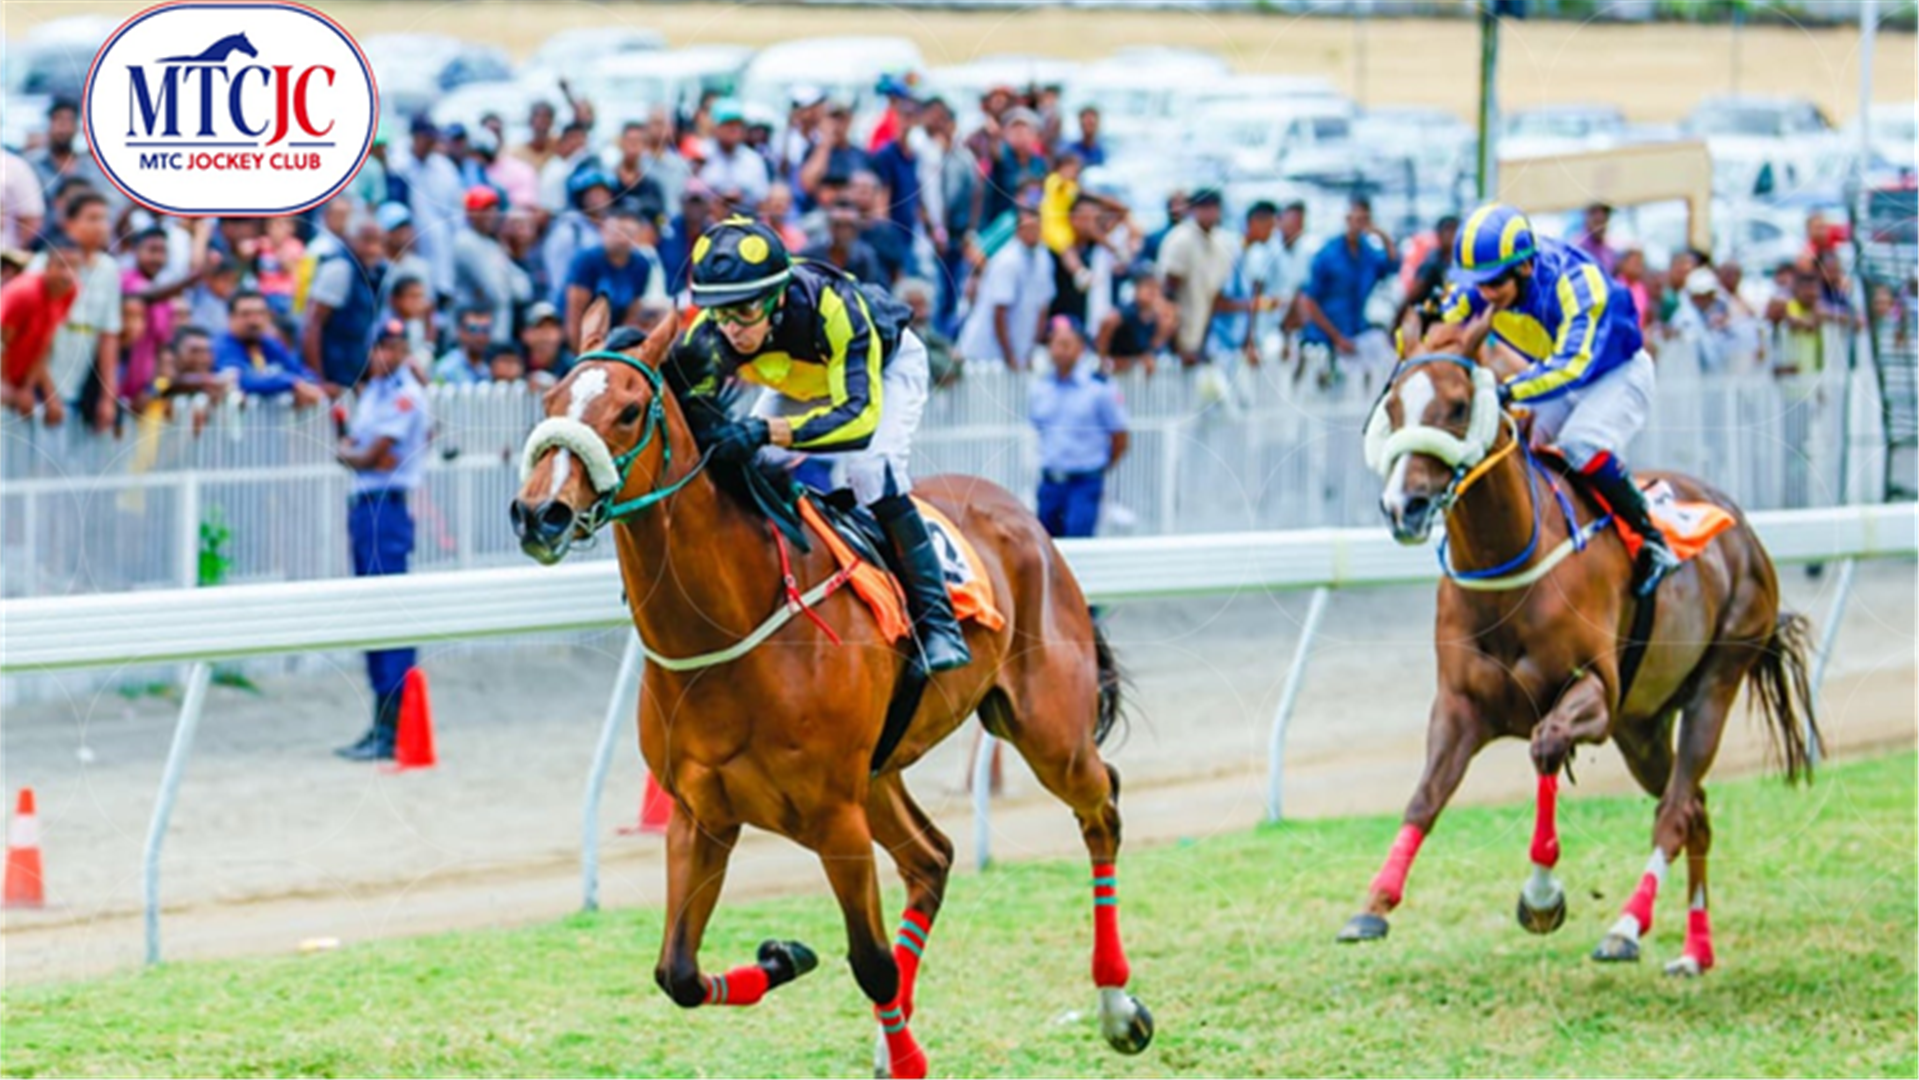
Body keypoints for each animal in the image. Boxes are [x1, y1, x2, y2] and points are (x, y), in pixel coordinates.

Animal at [509, 301, 1153, 1078]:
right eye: (550, 403)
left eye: (630, 411)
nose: (536, 514)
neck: (733, 626)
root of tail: (1021, 513)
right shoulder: (700, 815)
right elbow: (678, 974)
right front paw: (786, 954)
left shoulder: (833, 816)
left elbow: (870, 962)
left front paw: (905, 1056)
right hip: (879, 775)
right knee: (933, 858)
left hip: (1046, 730)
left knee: (1101, 807)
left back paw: (1117, 1007)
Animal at [1336, 321, 1819, 976]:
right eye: (1392, 406)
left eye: (1459, 406)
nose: (1402, 508)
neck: (1507, 565)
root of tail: (1742, 528)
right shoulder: (1460, 706)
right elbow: (1424, 798)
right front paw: (1373, 905)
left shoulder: (1594, 694)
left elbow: (1545, 747)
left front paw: (1542, 897)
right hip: (1642, 728)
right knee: (1695, 810)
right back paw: (1695, 950)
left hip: (1716, 682)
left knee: (1675, 811)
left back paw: (1627, 926)